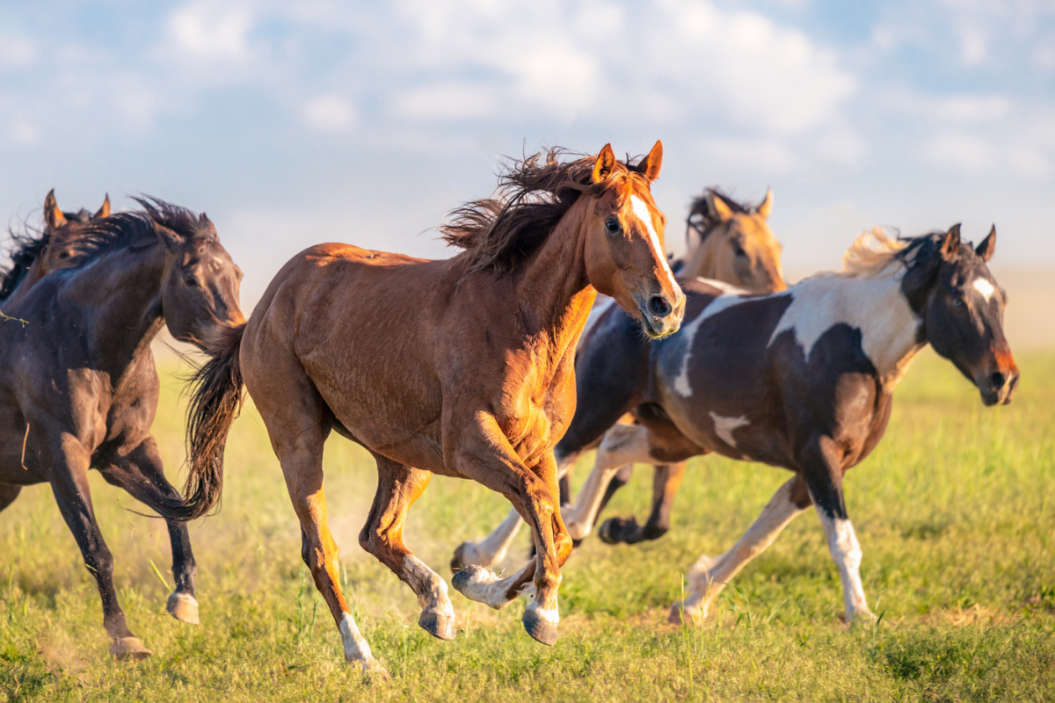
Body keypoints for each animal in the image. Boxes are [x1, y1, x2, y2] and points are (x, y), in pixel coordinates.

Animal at [0, 199, 243, 659]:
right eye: (190, 277)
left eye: (236, 273)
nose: (238, 336)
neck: (83, 341)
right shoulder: (63, 455)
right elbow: (96, 547)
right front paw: (123, 636)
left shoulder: (126, 451)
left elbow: (173, 506)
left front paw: (184, 599)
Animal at [164, 143, 684, 677]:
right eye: (613, 223)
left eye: (661, 219)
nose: (667, 306)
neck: (520, 324)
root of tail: (264, 306)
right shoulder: (470, 445)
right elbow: (540, 505)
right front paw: (542, 614)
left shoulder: (538, 449)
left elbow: (554, 530)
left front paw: (478, 581)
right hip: (299, 441)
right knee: (322, 551)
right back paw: (364, 658)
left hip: (404, 458)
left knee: (377, 533)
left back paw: (438, 607)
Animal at [453, 187, 787, 569]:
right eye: (740, 248)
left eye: (777, 247)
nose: (780, 290)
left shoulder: (670, 432)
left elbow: (657, 518)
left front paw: (613, 528)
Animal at [513, 224, 1017, 626]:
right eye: (958, 298)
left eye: (1002, 298)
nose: (1003, 379)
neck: (856, 347)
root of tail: (612, 306)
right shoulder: (819, 457)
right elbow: (843, 543)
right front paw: (861, 615)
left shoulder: (813, 470)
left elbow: (759, 538)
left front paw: (694, 602)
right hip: (599, 408)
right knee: (551, 466)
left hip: (676, 436)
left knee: (611, 450)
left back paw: (580, 527)